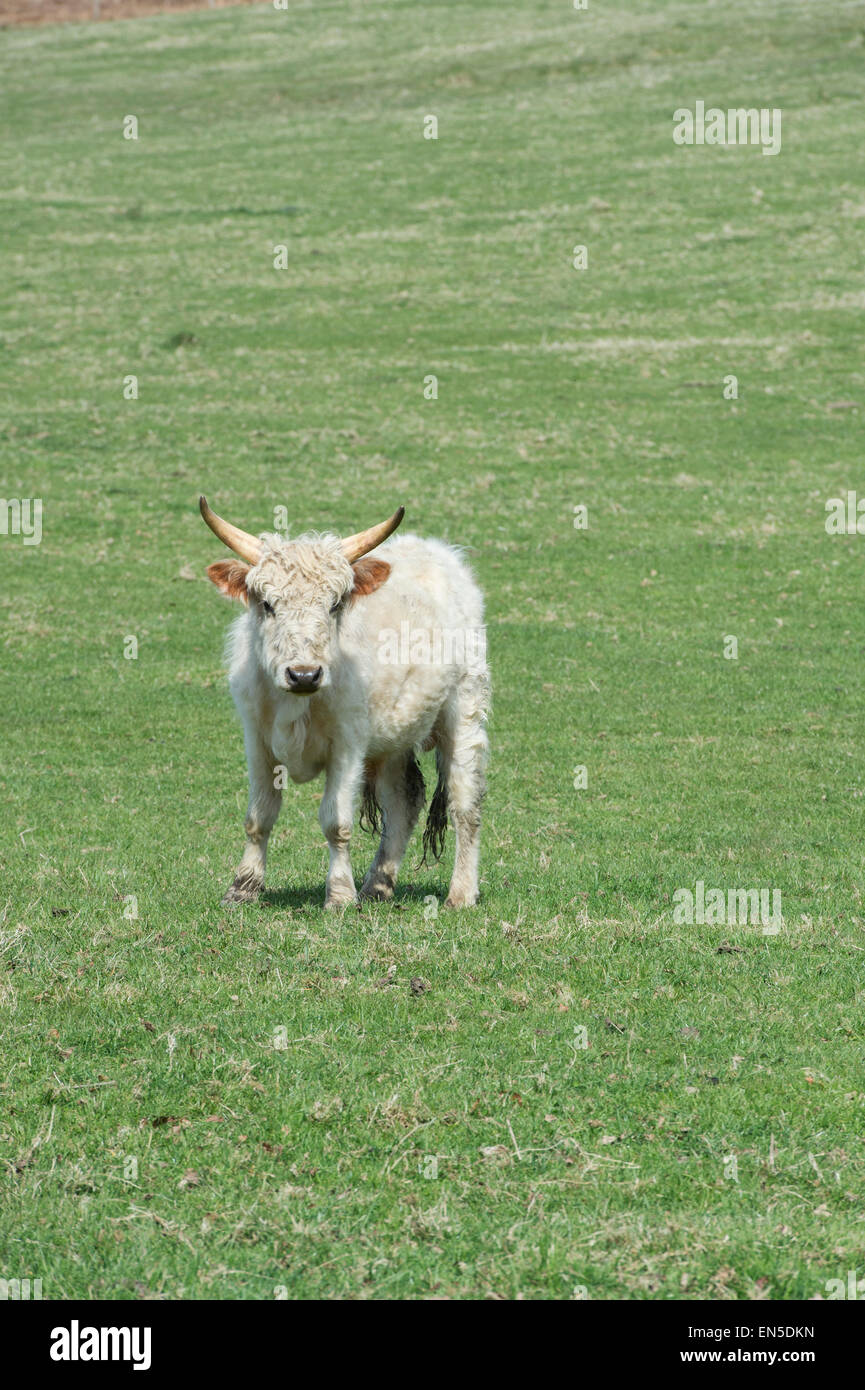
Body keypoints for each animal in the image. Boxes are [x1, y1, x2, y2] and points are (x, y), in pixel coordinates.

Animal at [200, 496, 490, 910]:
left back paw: (461, 893)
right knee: (404, 799)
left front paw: (339, 895)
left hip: (465, 709)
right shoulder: (257, 740)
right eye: (268, 604)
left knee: (465, 803)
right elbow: (259, 816)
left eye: (335, 604)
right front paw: (242, 888)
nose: (304, 674)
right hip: (392, 738)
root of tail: (436, 551)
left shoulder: (348, 745)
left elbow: (336, 821)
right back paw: (378, 884)